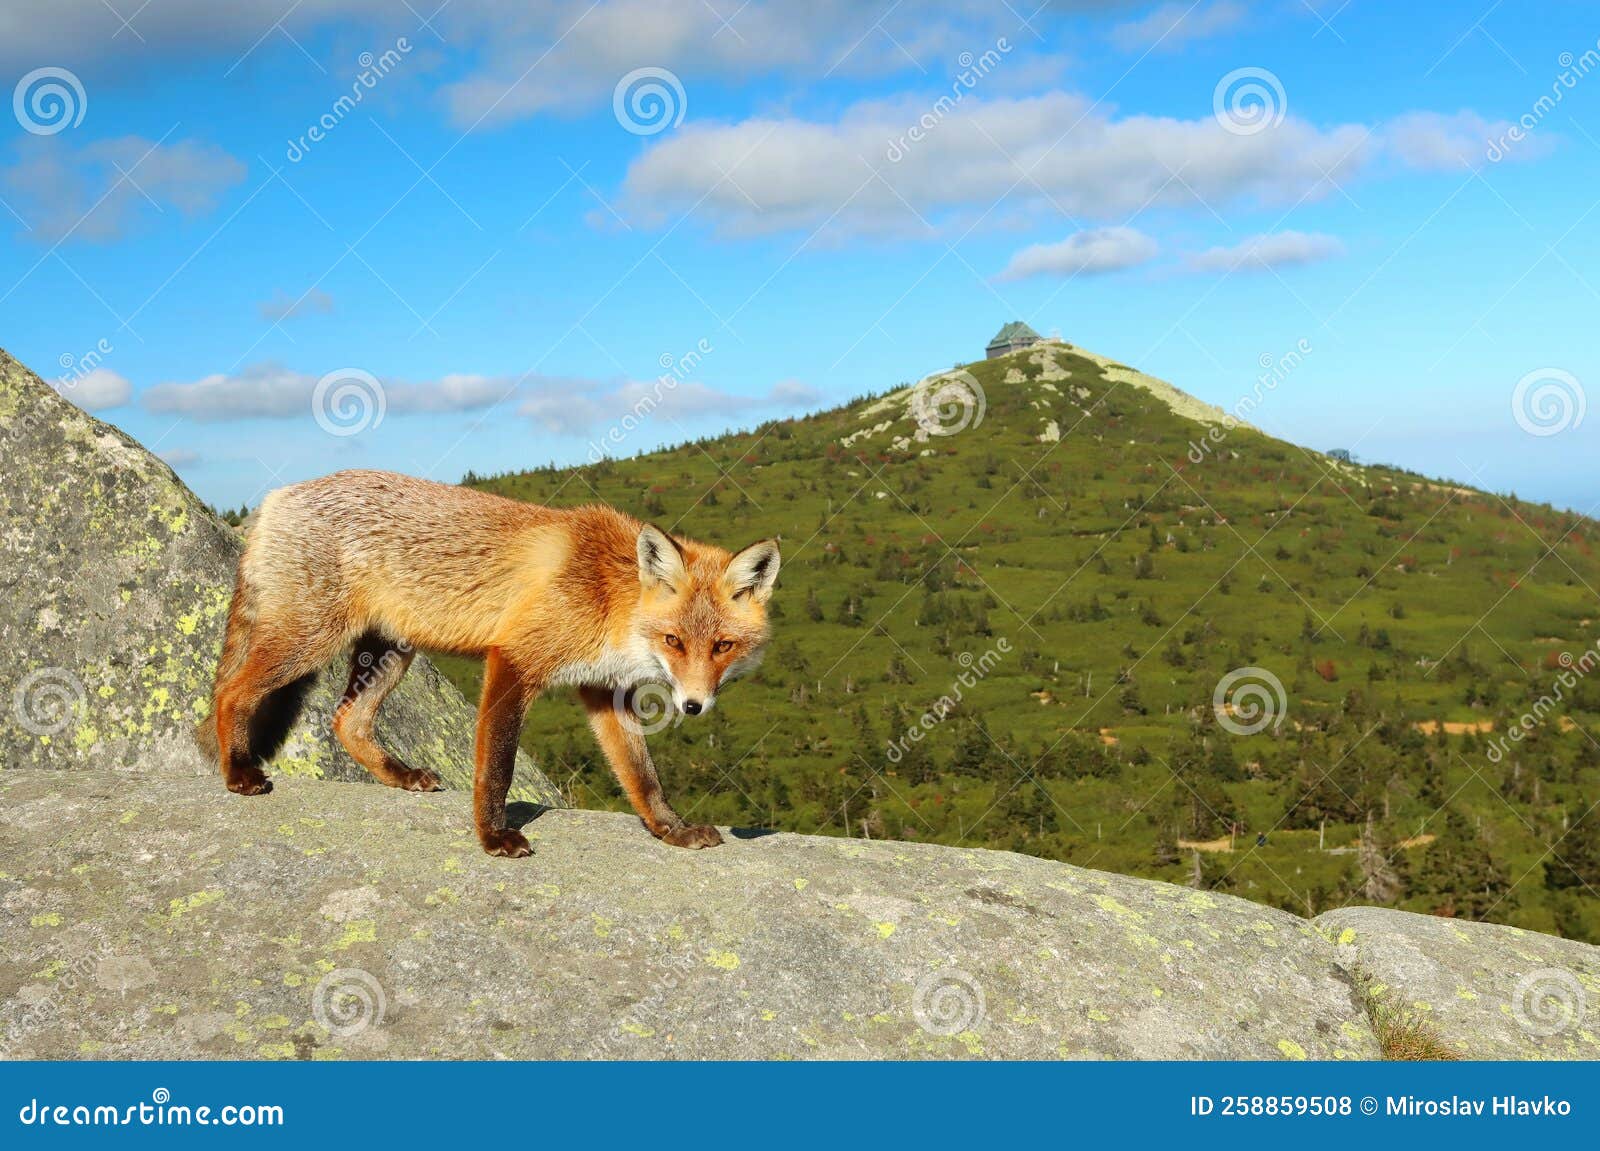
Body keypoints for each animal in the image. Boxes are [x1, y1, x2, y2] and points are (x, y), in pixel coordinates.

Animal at [198, 469, 780, 858]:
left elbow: (643, 778)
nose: (694, 705)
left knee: (348, 722)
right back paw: (237, 773)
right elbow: (496, 768)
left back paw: (398, 776)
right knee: (228, 692)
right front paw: (492, 837)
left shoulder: (601, 690)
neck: (610, 601)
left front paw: (671, 830)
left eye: (722, 646)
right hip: (309, 641)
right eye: (673, 640)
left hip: (391, 653)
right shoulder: (514, 660)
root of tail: (276, 496)